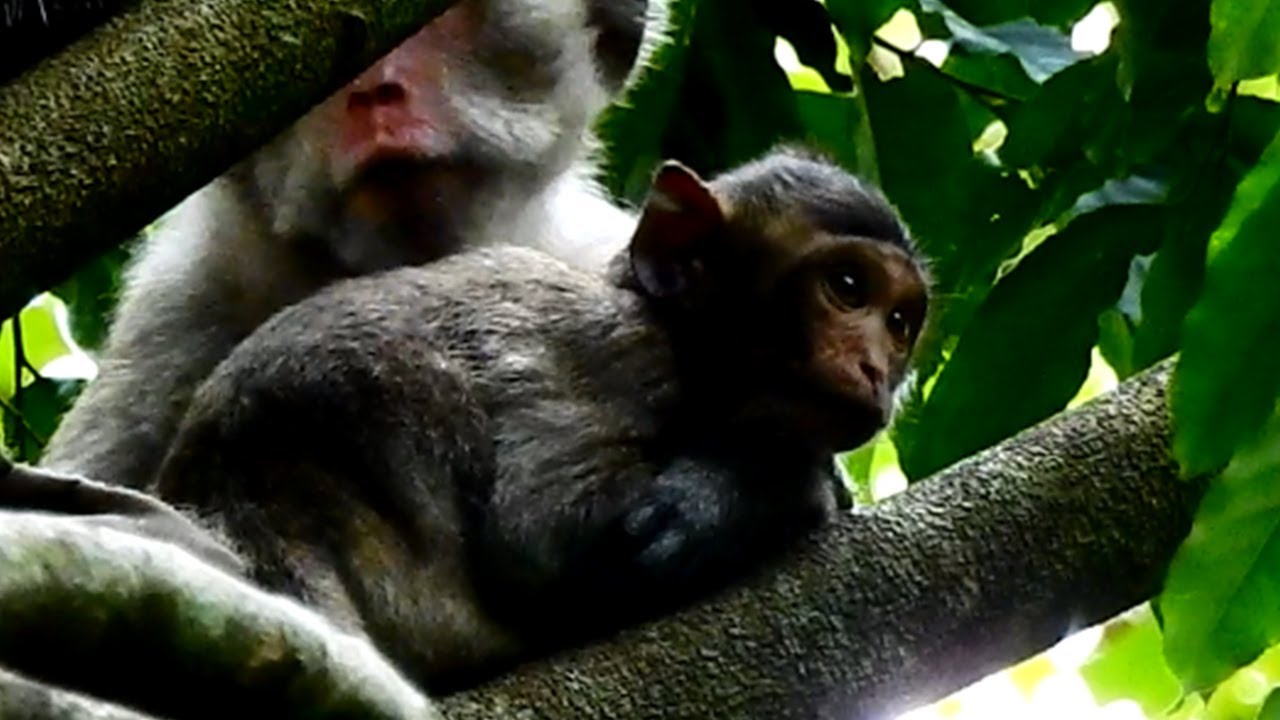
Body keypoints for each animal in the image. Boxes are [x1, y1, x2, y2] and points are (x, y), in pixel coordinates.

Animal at [152, 148, 930, 692]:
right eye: (848, 287)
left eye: (900, 324)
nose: (876, 371)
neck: (678, 338)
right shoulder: (608, 356)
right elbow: (541, 536)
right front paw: (785, 487)